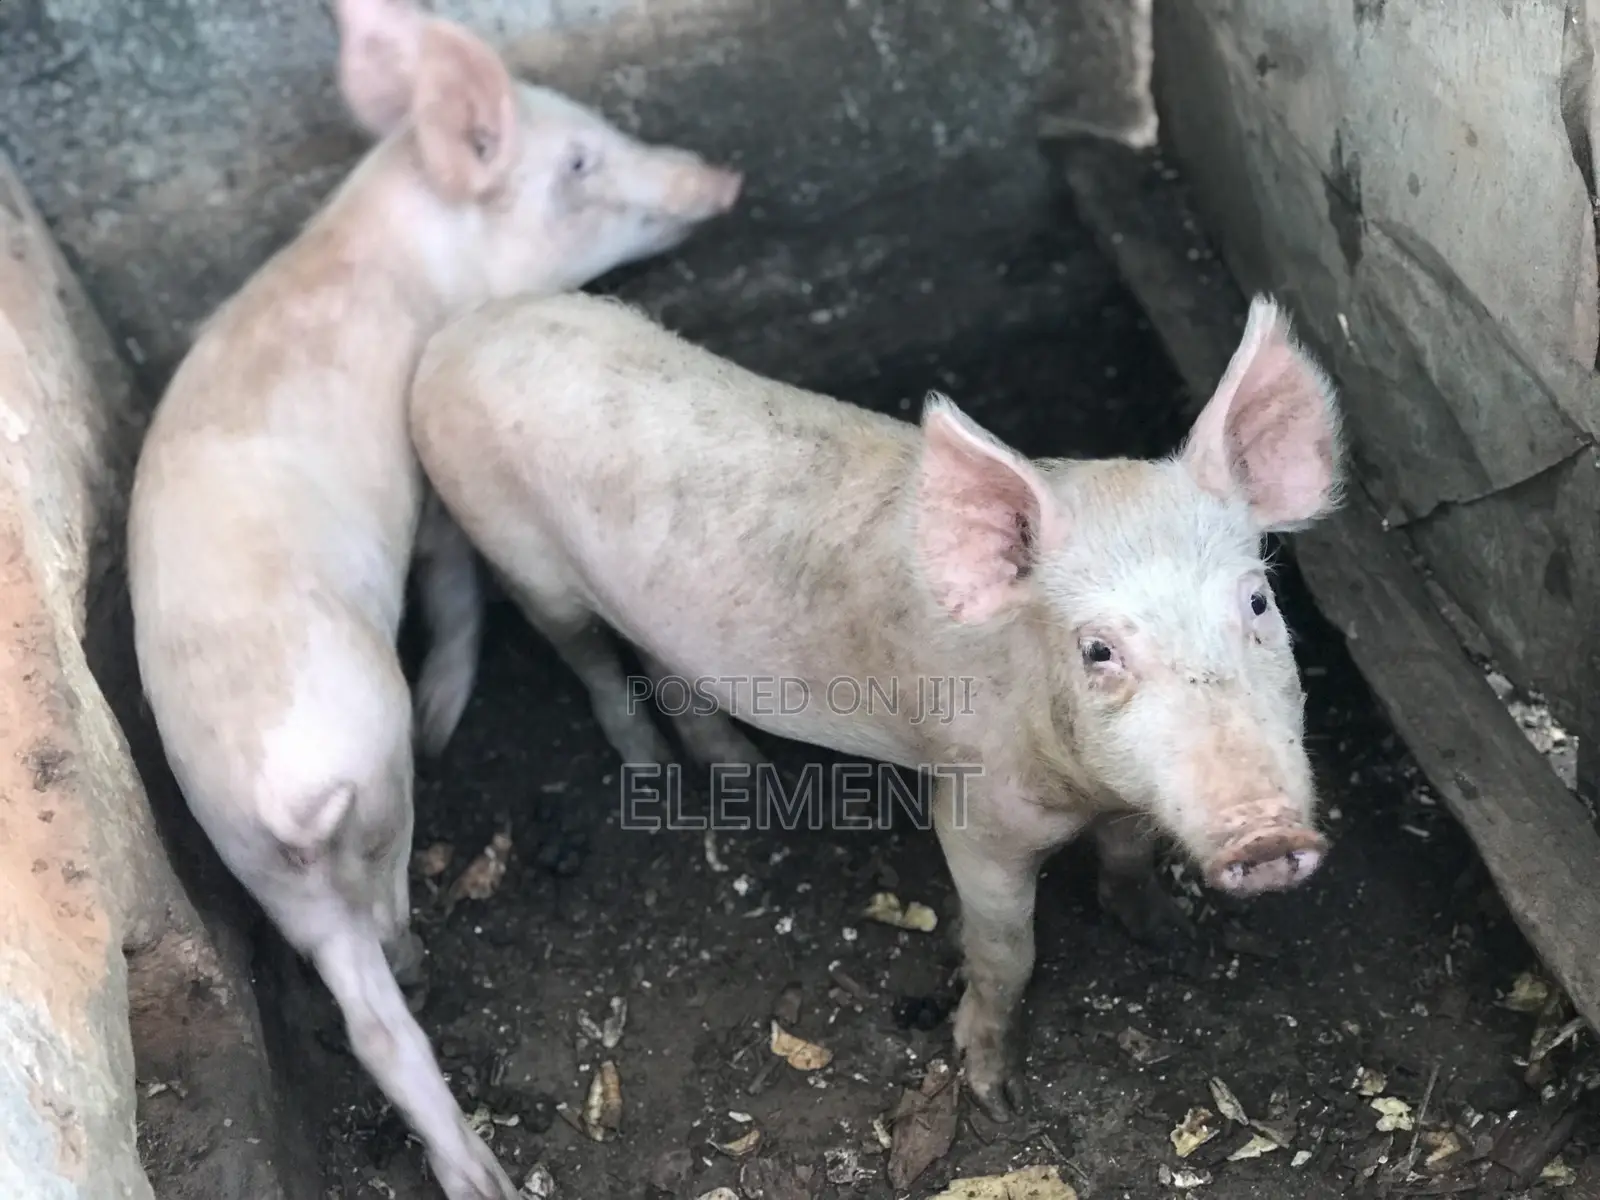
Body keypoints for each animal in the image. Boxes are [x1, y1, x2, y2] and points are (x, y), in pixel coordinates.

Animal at [123, 1, 740, 1194]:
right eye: (578, 161)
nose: (724, 174)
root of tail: (282, 785)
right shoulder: (431, 479)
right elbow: (454, 583)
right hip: (373, 793)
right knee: (394, 903)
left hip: (255, 861)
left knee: (371, 1024)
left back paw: (477, 1172)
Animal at [407, 290, 1343, 1123]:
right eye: (1099, 650)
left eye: (1258, 601)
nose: (1268, 836)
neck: (1082, 786)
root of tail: (455, 337)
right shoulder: (972, 813)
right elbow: (1007, 951)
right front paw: (996, 1095)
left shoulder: (1121, 803)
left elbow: (1127, 859)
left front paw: (1171, 938)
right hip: (517, 554)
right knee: (592, 658)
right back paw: (655, 772)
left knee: (659, 660)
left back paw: (745, 780)